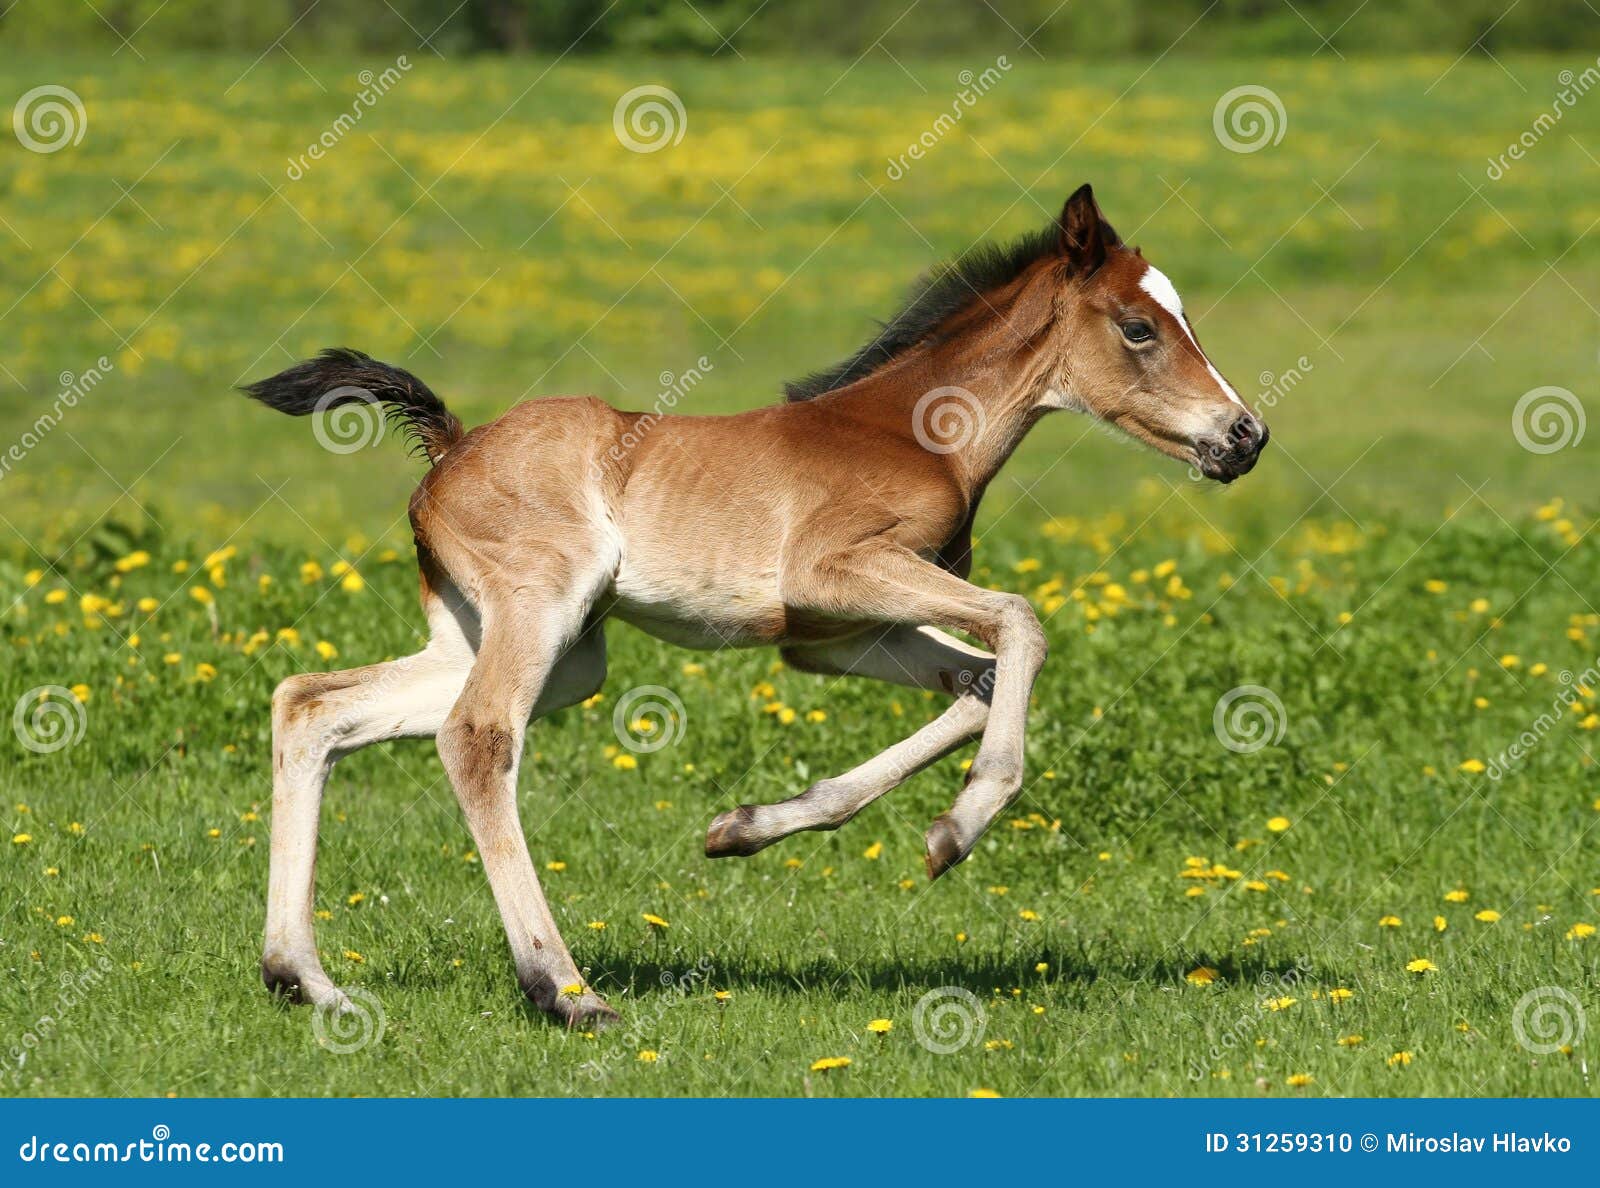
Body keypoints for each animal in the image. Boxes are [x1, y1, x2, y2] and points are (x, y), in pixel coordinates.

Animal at [242, 184, 1268, 1028]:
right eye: (1138, 328)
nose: (1245, 435)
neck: (920, 430)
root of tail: (451, 448)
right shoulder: (833, 573)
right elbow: (1021, 620)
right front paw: (959, 828)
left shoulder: (832, 636)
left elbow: (978, 684)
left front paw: (745, 830)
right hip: (542, 610)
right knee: (477, 736)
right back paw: (565, 992)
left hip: (535, 646)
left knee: (314, 705)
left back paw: (309, 981)